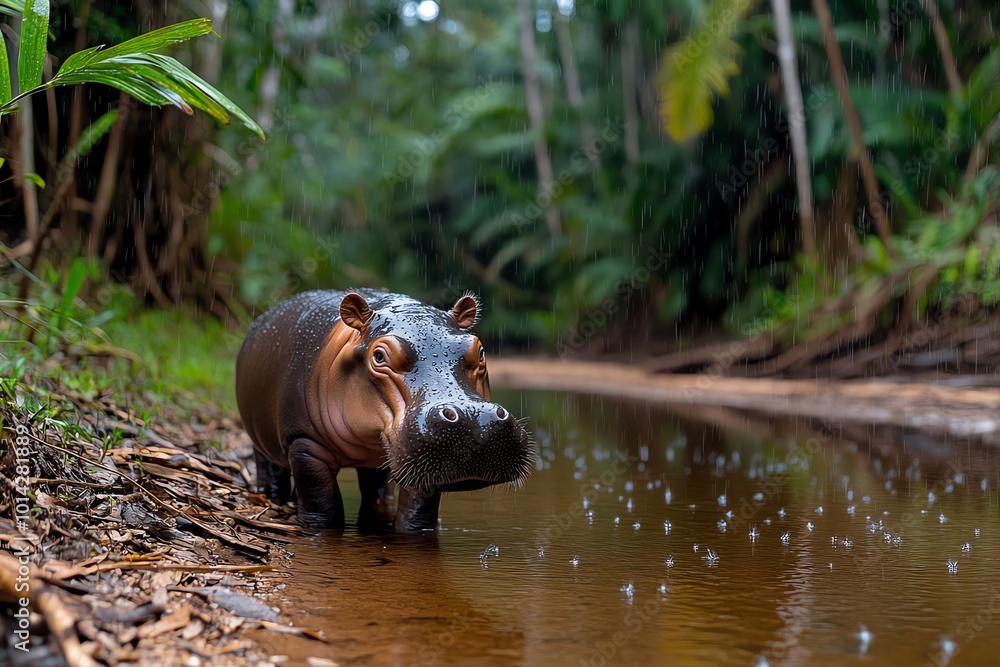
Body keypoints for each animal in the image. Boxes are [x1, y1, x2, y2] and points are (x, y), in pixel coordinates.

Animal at [235, 289, 533, 530]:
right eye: (379, 356)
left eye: (480, 350)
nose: (475, 419)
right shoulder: (305, 444)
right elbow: (323, 507)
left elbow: (417, 515)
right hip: (261, 440)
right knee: (269, 467)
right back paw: (273, 497)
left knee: (373, 485)